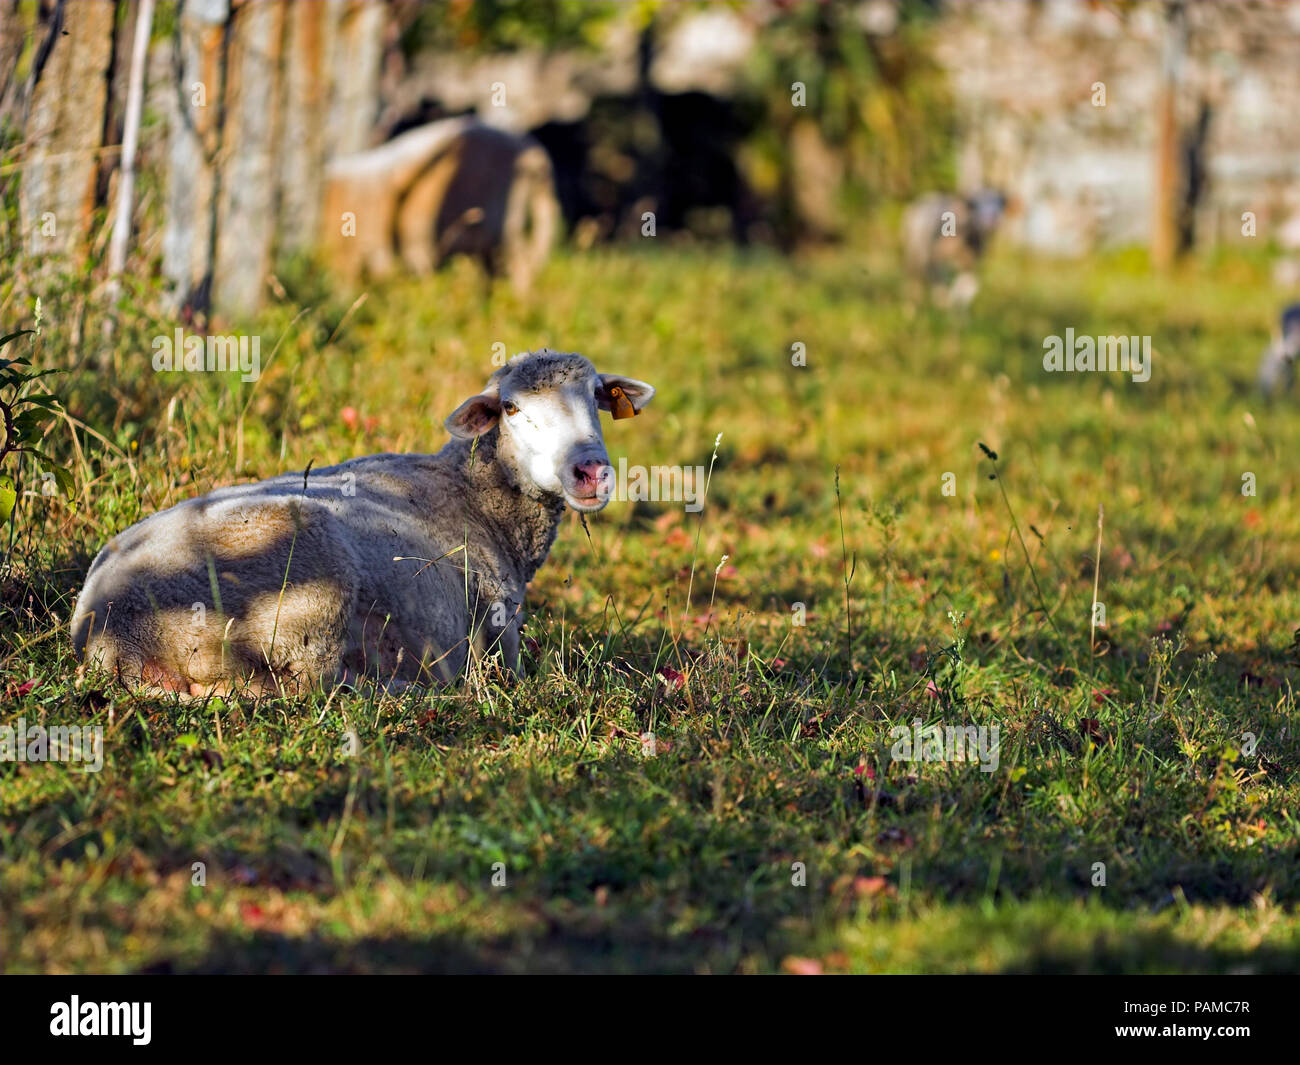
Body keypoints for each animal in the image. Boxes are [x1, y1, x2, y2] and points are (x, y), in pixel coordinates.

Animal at [70, 350, 655, 698]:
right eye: (510, 408)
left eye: (598, 396)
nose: (590, 470)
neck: (474, 495)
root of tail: (107, 633)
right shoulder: (500, 632)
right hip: (304, 606)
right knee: (315, 687)